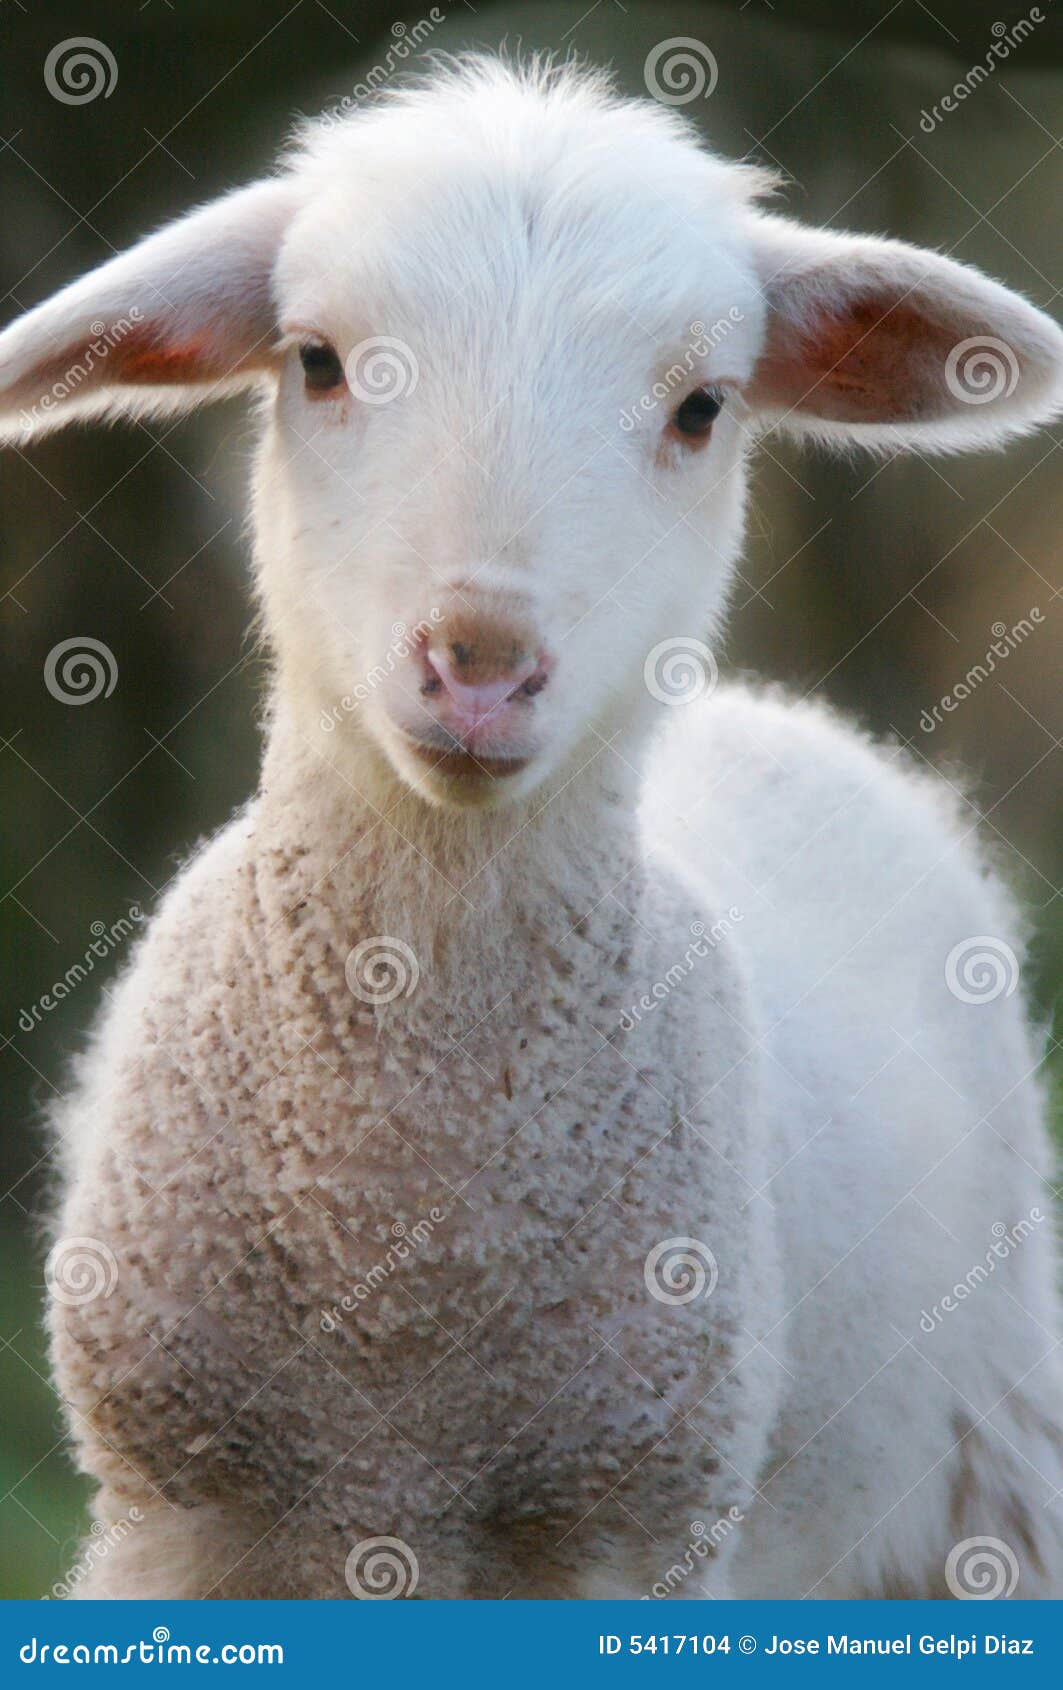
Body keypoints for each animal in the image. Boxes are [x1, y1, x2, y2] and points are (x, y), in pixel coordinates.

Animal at [3, 55, 1063, 1602]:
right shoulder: (176, 1521)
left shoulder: (630, 1530)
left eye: (700, 406)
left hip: (992, 1470)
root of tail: (765, 711)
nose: (481, 664)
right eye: (316, 361)